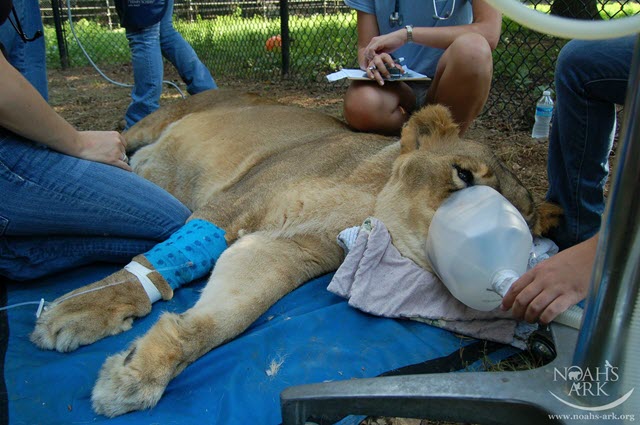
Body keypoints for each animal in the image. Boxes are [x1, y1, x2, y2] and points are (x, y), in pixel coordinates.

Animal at [29, 89, 559, 417]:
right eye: (463, 175)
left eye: (523, 225)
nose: (489, 242)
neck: (367, 199)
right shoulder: (236, 202)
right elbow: (148, 269)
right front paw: (82, 310)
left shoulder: (283, 250)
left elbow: (229, 317)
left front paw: (139, 369)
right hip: (152, 125)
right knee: (118, 141)